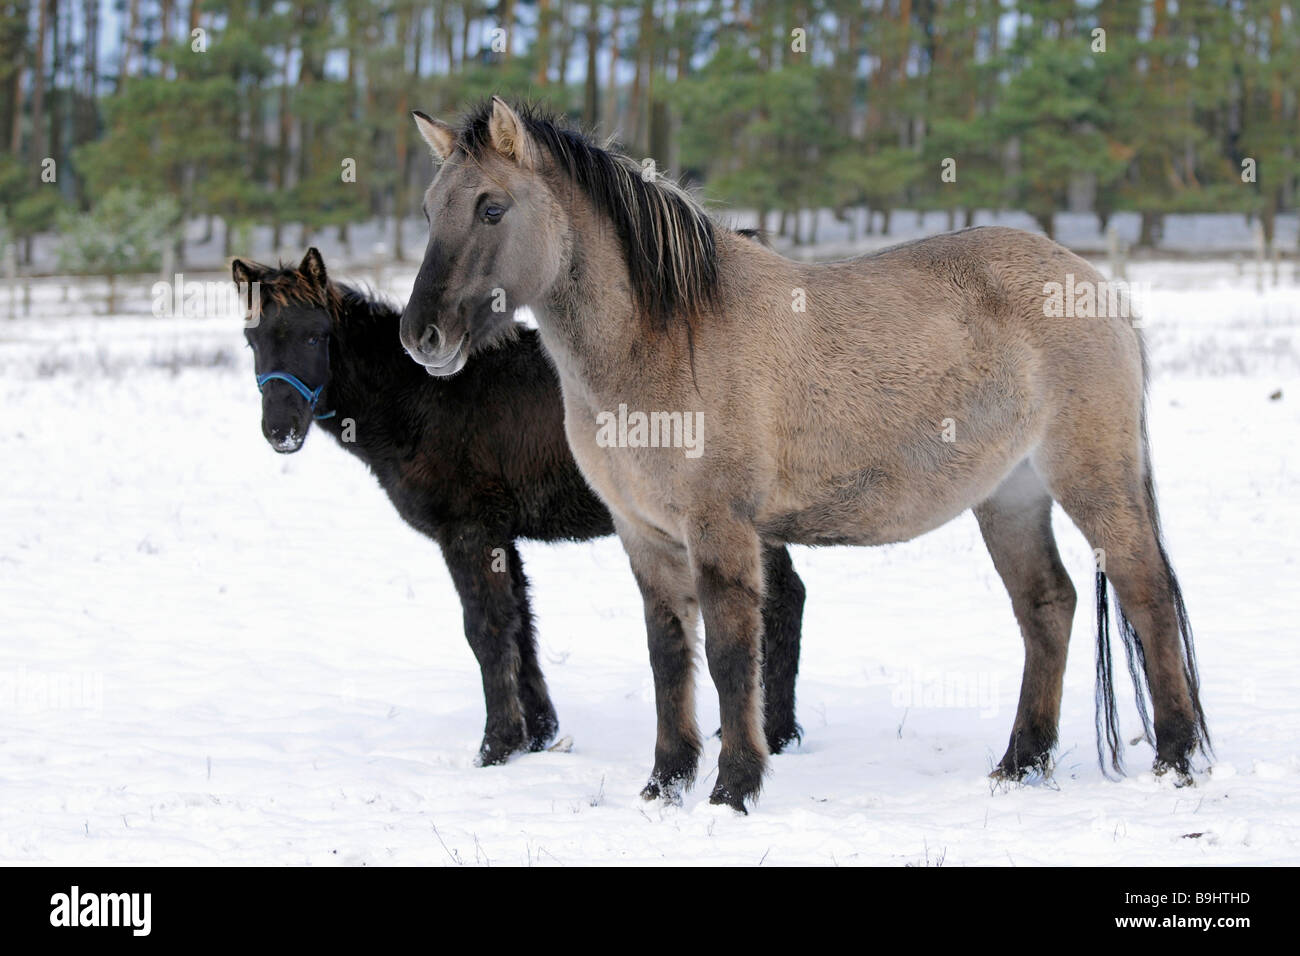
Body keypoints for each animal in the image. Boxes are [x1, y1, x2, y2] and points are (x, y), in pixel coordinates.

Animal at [231, 247, 807, 767]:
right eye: (252, 339)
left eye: (315, 336)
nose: (280, 431)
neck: (418, 399)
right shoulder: (500, 535)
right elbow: (520, 626)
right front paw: (538, 733)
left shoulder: (467, 531)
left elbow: (485, 630)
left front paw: (497, 745)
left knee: (781, 602)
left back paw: (773, 732)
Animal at [398, 98, 1210, 812]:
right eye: (432, 208)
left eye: (492, 207)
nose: (422, 336)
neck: (663, 337)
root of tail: (1097, 287)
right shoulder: (644, 535)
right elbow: (670, 656)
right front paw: (664, 785)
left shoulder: (720, 529)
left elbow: (733, 657)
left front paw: (733, 787)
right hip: (1011, 497)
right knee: (1048, 606)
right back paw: (1021, 764)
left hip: (1092, 482)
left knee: (1146, 595)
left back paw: (1175, 761)